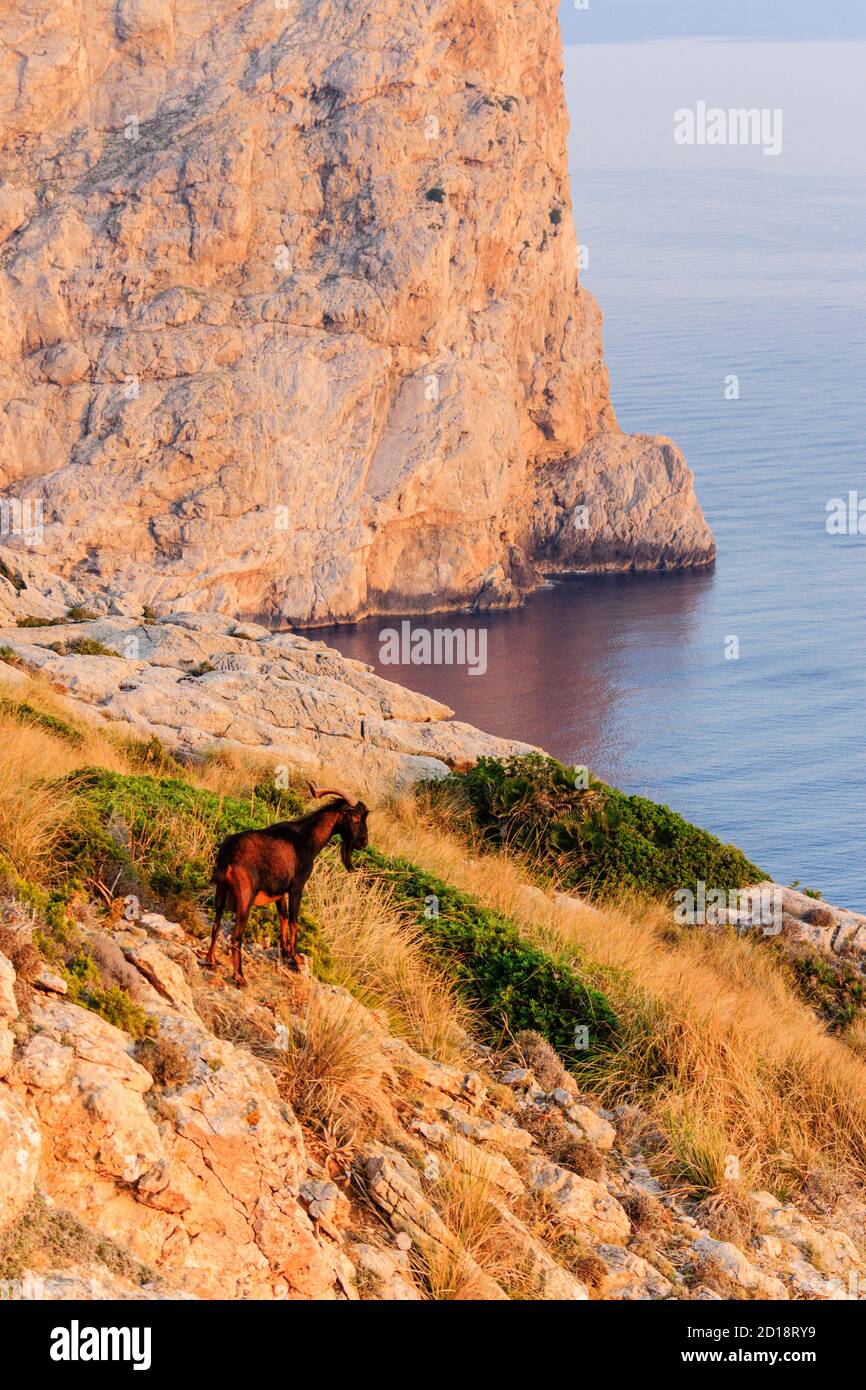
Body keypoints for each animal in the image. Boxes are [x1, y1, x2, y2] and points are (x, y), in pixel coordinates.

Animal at [203, 782, 369, 986]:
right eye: (355, 816)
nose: (364, 842)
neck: (306, 839)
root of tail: (228, 853)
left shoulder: (280, 892)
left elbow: (282, 917)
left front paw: (284, 951)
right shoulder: (297, 887)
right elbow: (293, 921)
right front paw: (295, 957)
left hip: (221, 890)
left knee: (216, 925)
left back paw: (210, 960)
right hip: (245, 897)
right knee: (236, 936)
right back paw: (240, 977)